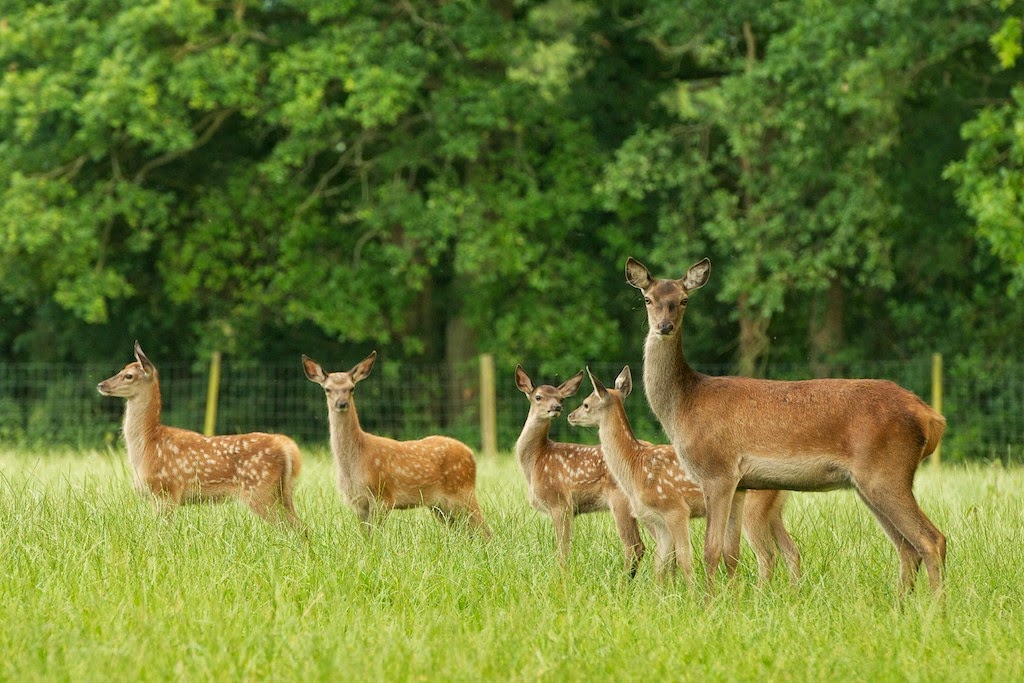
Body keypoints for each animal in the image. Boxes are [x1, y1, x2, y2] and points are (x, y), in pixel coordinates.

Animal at [97, 341, 303, 527]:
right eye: (122, 369)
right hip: (284, 492)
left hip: (260, 490)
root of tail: (287, 447)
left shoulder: (166, 489)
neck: (148, 444)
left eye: (128, 376)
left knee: (292, 527)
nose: (101, 384)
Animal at [302, 351, 491, 537]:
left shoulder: (382, 496)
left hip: (462, 492)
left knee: (485, 530)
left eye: (351, 388)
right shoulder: (357, 503)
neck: (354, 463)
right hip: (439, 505)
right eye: (327, 389)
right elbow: (365, 537)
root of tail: (471, 454)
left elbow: (376, 536)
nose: (342, 404)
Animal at [514, 365, 645, 576]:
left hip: (621, 500)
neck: (537, 458)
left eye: (561, 398)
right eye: (538, 397)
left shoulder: (559, 501)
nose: (556, 408)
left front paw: (561, 575)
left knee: (634, 545)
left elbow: (563, 548)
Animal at [568, 365, 801, 586]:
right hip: (773, 512)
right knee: (790, 550)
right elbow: (661, 563)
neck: (635, 464)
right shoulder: (657, 519)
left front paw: (689, 594)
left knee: (766, 555)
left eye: (585, 403)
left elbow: (682, 558)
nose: (570, 415)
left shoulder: (676, 509)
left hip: (753, 510)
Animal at [625, 256, 947, 597]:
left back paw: (934, 606)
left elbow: (711, 550)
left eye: (684, 299)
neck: (684, 405)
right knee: (907, 546)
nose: (664, 327)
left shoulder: (717, 470)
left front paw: (708, 601)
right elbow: (730, 552)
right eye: (648, 299)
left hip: (886, 472)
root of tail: (932, 418)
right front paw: (733, 600)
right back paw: (902, 603)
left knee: (931, 539)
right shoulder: (741, 484)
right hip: (870, 483)